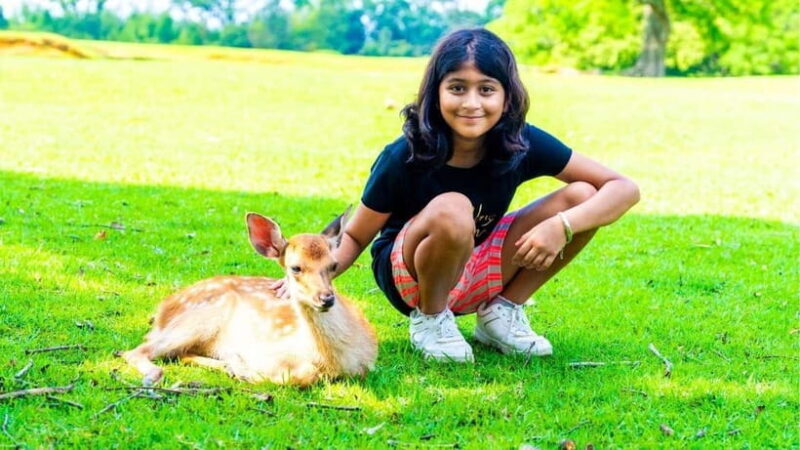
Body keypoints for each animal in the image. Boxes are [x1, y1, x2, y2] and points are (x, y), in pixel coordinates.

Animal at [122, 210, 378, 387]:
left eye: (333, 265)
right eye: (295, 268)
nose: (326, 299)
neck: (335, 359)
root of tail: (162, 310)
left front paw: (237, 366)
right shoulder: (270, 349)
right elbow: (302, 374)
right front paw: (244, 369)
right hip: (201, 316)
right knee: (136, 351)